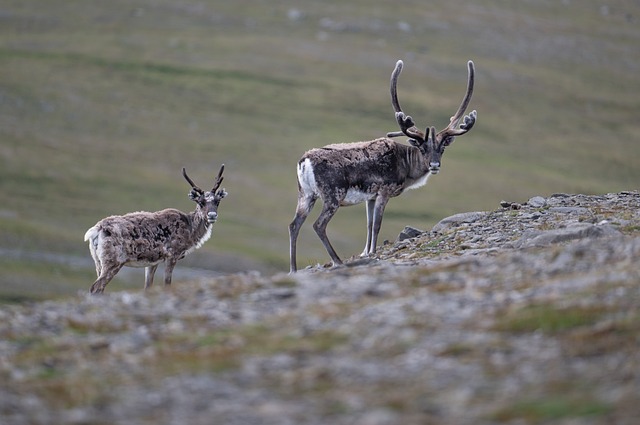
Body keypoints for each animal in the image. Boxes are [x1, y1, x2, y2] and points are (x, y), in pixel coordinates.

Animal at [84, 165, 228, 294]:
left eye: (217, 201)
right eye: (201, 202)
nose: (212, 215)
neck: (190, 229)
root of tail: (96, 230)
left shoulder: (153, 261)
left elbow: (148, 287)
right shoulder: (172, 255)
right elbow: (167, 284)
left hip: (98, 261)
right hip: (113, 261)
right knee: (95, 287)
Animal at [288, 60, 477, 272]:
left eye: (442, 148)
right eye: (422, 148)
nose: (435, 165)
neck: (405, 163)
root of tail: (304, 161)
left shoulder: (370, 197)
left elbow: (369, 225)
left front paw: (366, 252)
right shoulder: (384, 192)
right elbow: (377, 225)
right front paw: (371, 253)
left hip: (306, 194)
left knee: (294, 225)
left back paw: (293, 269)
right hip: (333, 195)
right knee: (318, 225)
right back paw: (337, 260)